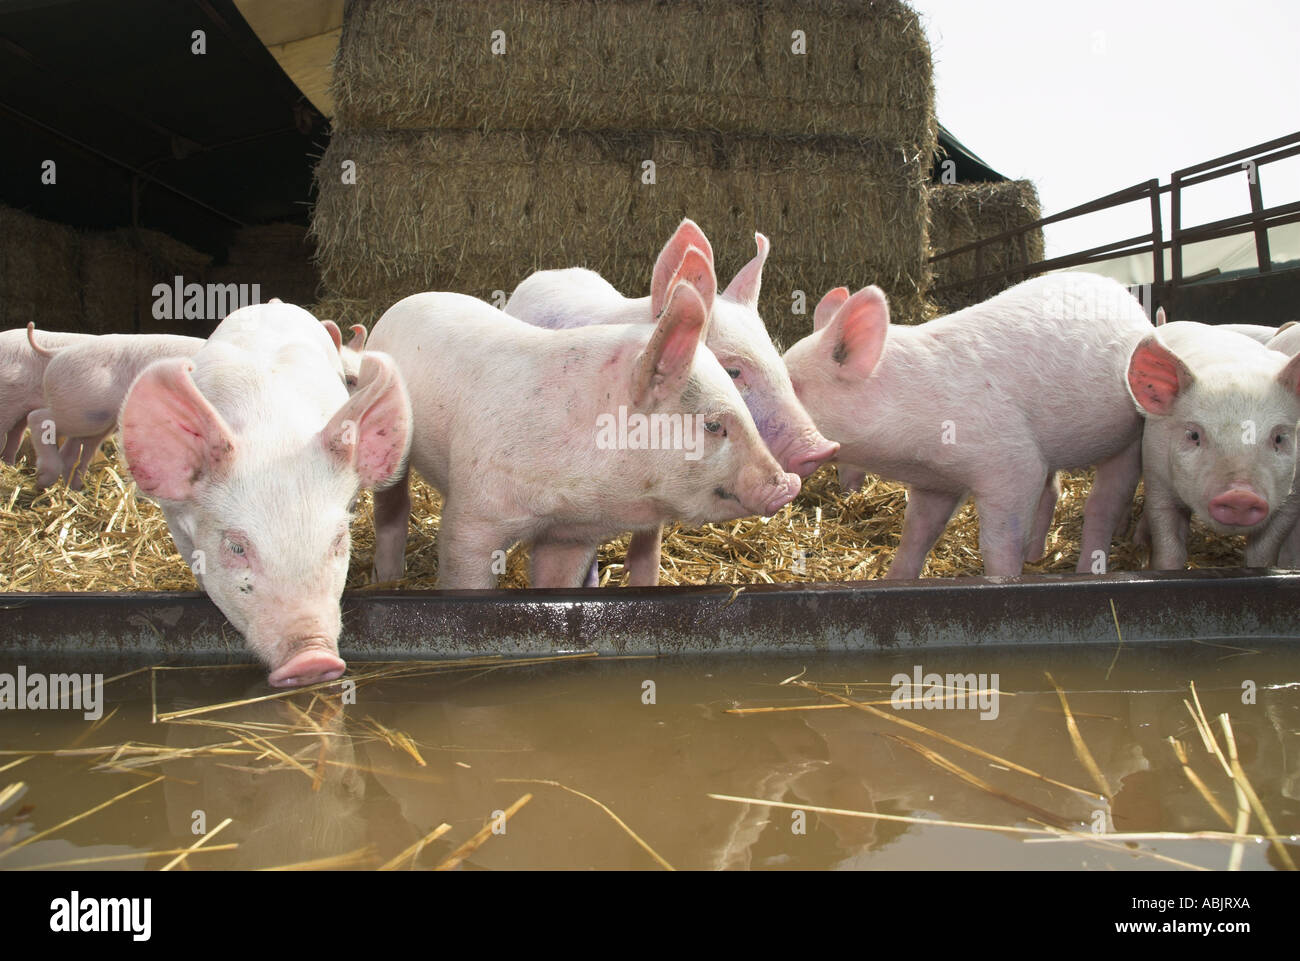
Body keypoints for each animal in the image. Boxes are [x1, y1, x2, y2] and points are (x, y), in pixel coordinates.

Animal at [23, 325, 206, 489]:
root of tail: (58, 352)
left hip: (95, 423)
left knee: (73, 453)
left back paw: (76, 490)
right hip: (86, 409)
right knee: (37, 418)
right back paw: (45, 480)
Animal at [119, 301, 412, 687]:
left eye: (338, 541)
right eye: (236, 548)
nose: (312, 659)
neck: (272, 432)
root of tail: (273, 303)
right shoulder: (175, 516)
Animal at [367, 284, 801, 589]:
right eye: (713, 425)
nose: (789, 483)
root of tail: (402, 304)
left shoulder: (570, 536)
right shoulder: (473, 514)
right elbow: (464, 574)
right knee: (392, 506)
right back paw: (389, 578)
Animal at [783, 272, 1154, 578]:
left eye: (793, 385)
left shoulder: (1012, 463)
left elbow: (998, 542)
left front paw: (1003, 578)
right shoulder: (935, 483)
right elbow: (916, 535)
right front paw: (893, 580)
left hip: (1129, 433)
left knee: (1102, 506)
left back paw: (1086, 569)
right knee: (1053, 490)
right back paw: (1035, 558)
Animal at [1126, 321, 1300, 569]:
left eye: (1279, 438)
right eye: (1193, 435)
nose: (1240, 495)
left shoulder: (1293, 496)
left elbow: (1262, 553)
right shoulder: (1156, 473)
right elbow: (1168, 543)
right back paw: (1139, 541)